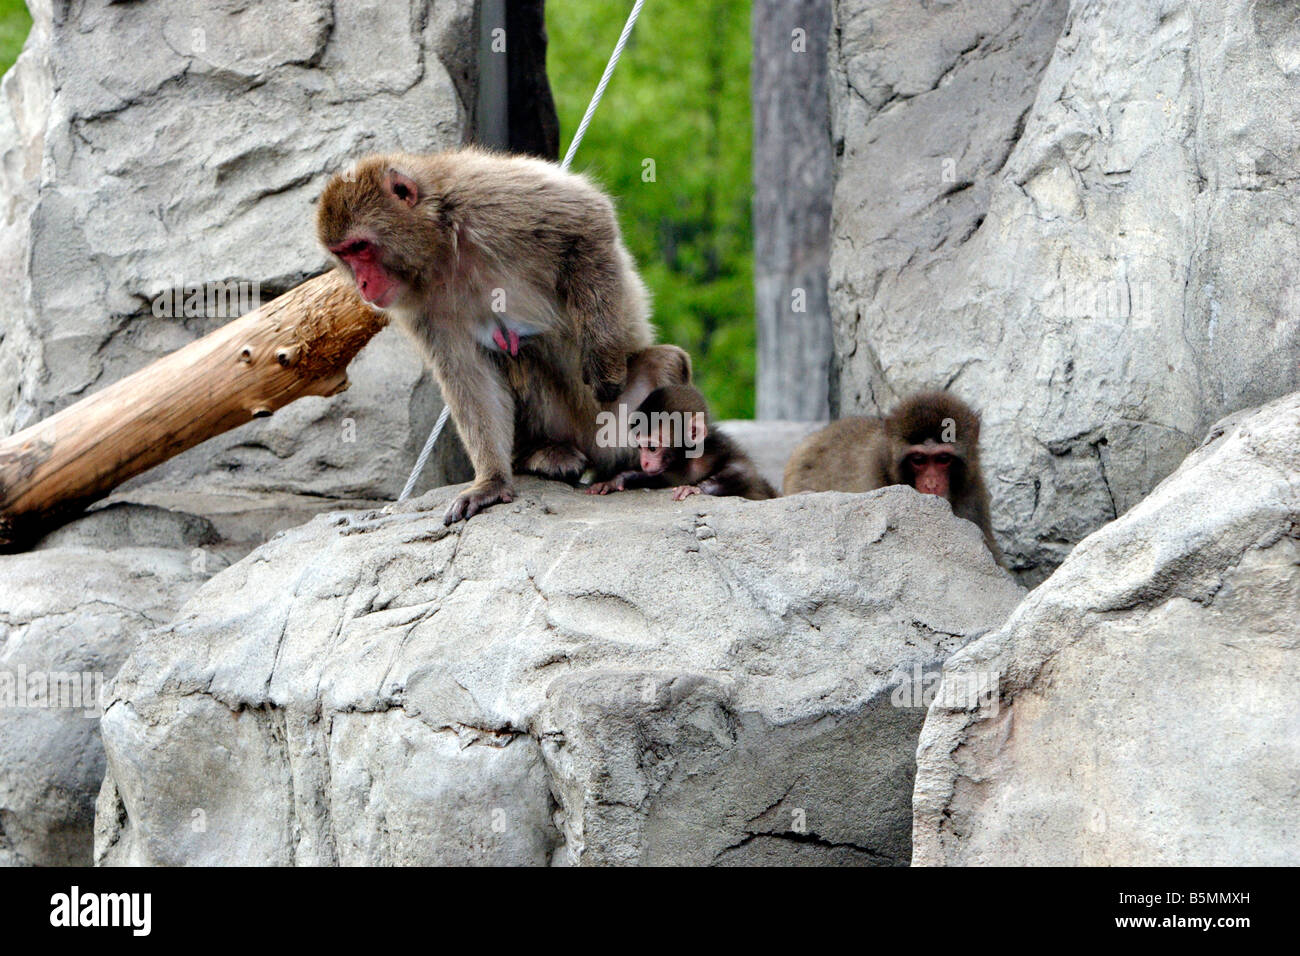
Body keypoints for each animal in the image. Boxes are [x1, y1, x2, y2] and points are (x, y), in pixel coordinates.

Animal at [316, 147, 655, 524]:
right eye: (344, 254)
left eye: (360, 247)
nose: (361, 284)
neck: (439, 248)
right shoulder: (419, 306)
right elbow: (467, 371)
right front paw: (491, 481)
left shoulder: (488, 200)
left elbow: (587, 221)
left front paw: (604, 361)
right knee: (515, 351)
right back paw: (543, 452)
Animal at [587, 383, 778, 501]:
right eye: (640, 448)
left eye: (652, 448)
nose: (644, 462)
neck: (686, 461)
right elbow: (656, 479)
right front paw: (616, 480)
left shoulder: (715, 446)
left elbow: (744, 470)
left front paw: (698, 488)